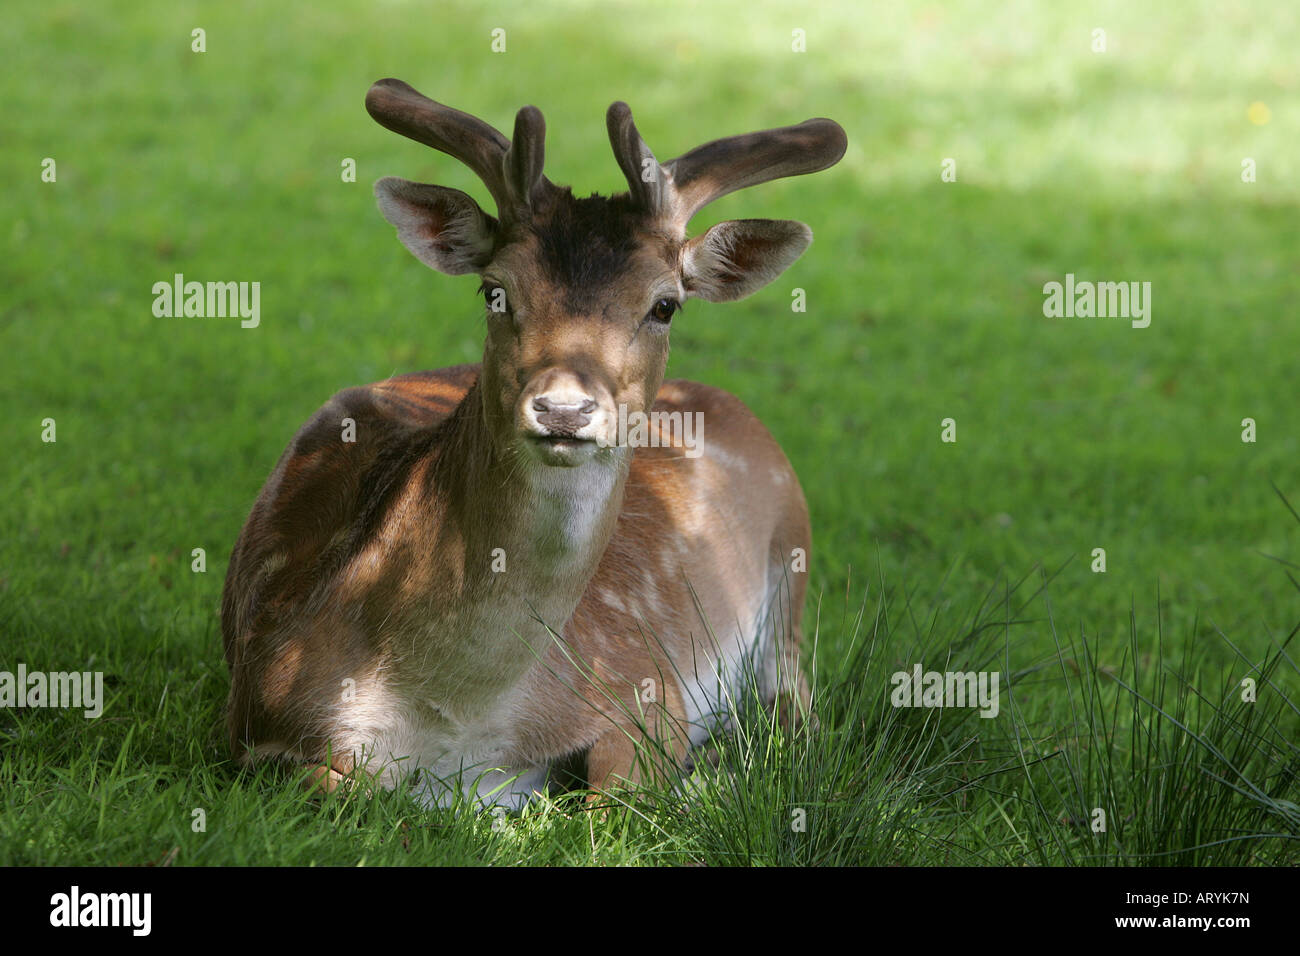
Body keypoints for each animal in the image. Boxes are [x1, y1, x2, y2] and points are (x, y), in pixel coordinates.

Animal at [220, 78, 847, 809]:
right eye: (494, 291)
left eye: (665, 304)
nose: (565, 409)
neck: (450, 718)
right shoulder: (258, 712)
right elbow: (332, 783)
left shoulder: (643, 679)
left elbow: (619, 798)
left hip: (792, 566)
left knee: (800, 717)